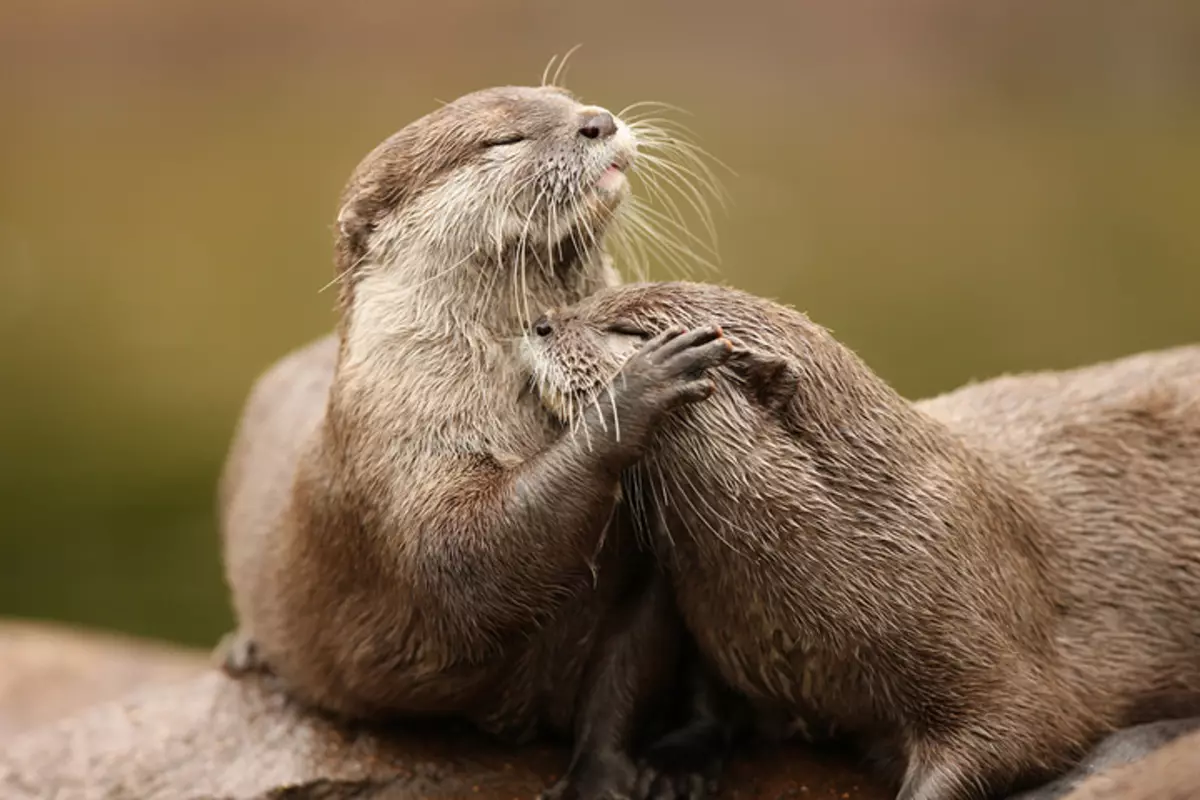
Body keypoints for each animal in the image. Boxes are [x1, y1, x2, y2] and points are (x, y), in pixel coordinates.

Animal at [220, 87, 734, 800]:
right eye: (502, 140)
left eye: (565, 99)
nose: (596, 121)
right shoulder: (397, 466)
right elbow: (465, 560)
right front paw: (634, 386)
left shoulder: (645, 575)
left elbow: (623, 675)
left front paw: (607, 771)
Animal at [523, 280, 1200, 800]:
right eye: (598, 297)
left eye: (629, 329)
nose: (539, 322)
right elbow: (694, 689)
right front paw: (672, 763)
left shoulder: (997, 642)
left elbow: (1020, 732)